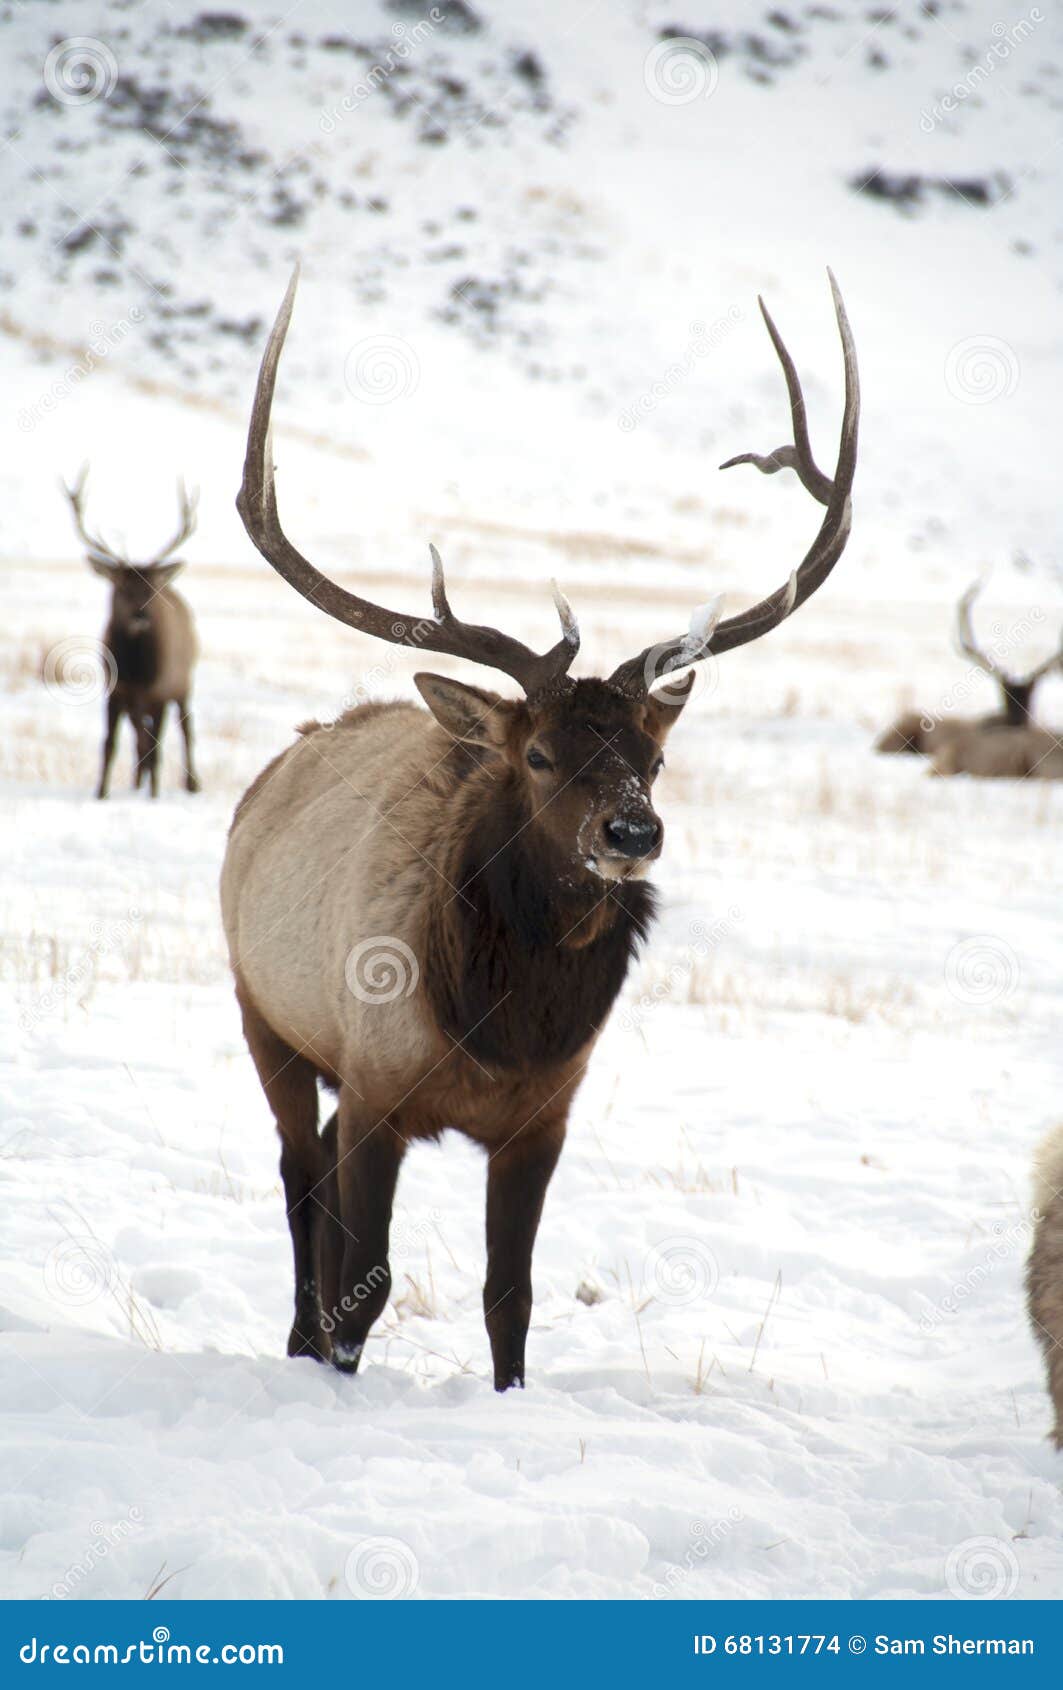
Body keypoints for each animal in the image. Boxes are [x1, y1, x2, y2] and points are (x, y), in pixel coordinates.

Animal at [64, 468, 201, 799]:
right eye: (121, 587)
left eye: (151, 589)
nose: (141, 616)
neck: (137, 669)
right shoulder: (116, 691)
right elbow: (110, 744)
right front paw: (101, 793)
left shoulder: (161, 691)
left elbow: (156, 748)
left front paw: (153, 796)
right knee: (140, 739)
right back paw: (138, 782)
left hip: (183, 684)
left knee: (184, 729)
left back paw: (190, 784)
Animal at [221, 268, 859, 1390]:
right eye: (540, 756)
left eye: (653, 756)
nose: (631, 832)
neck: (501, 1027)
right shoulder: (377, 1080)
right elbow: (365, 1280)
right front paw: (337, 1370)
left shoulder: (542, 1118)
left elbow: (508, 1295)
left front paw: (508, 1393)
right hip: (266, 1012)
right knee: (300, 1178)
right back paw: (298, 1340)